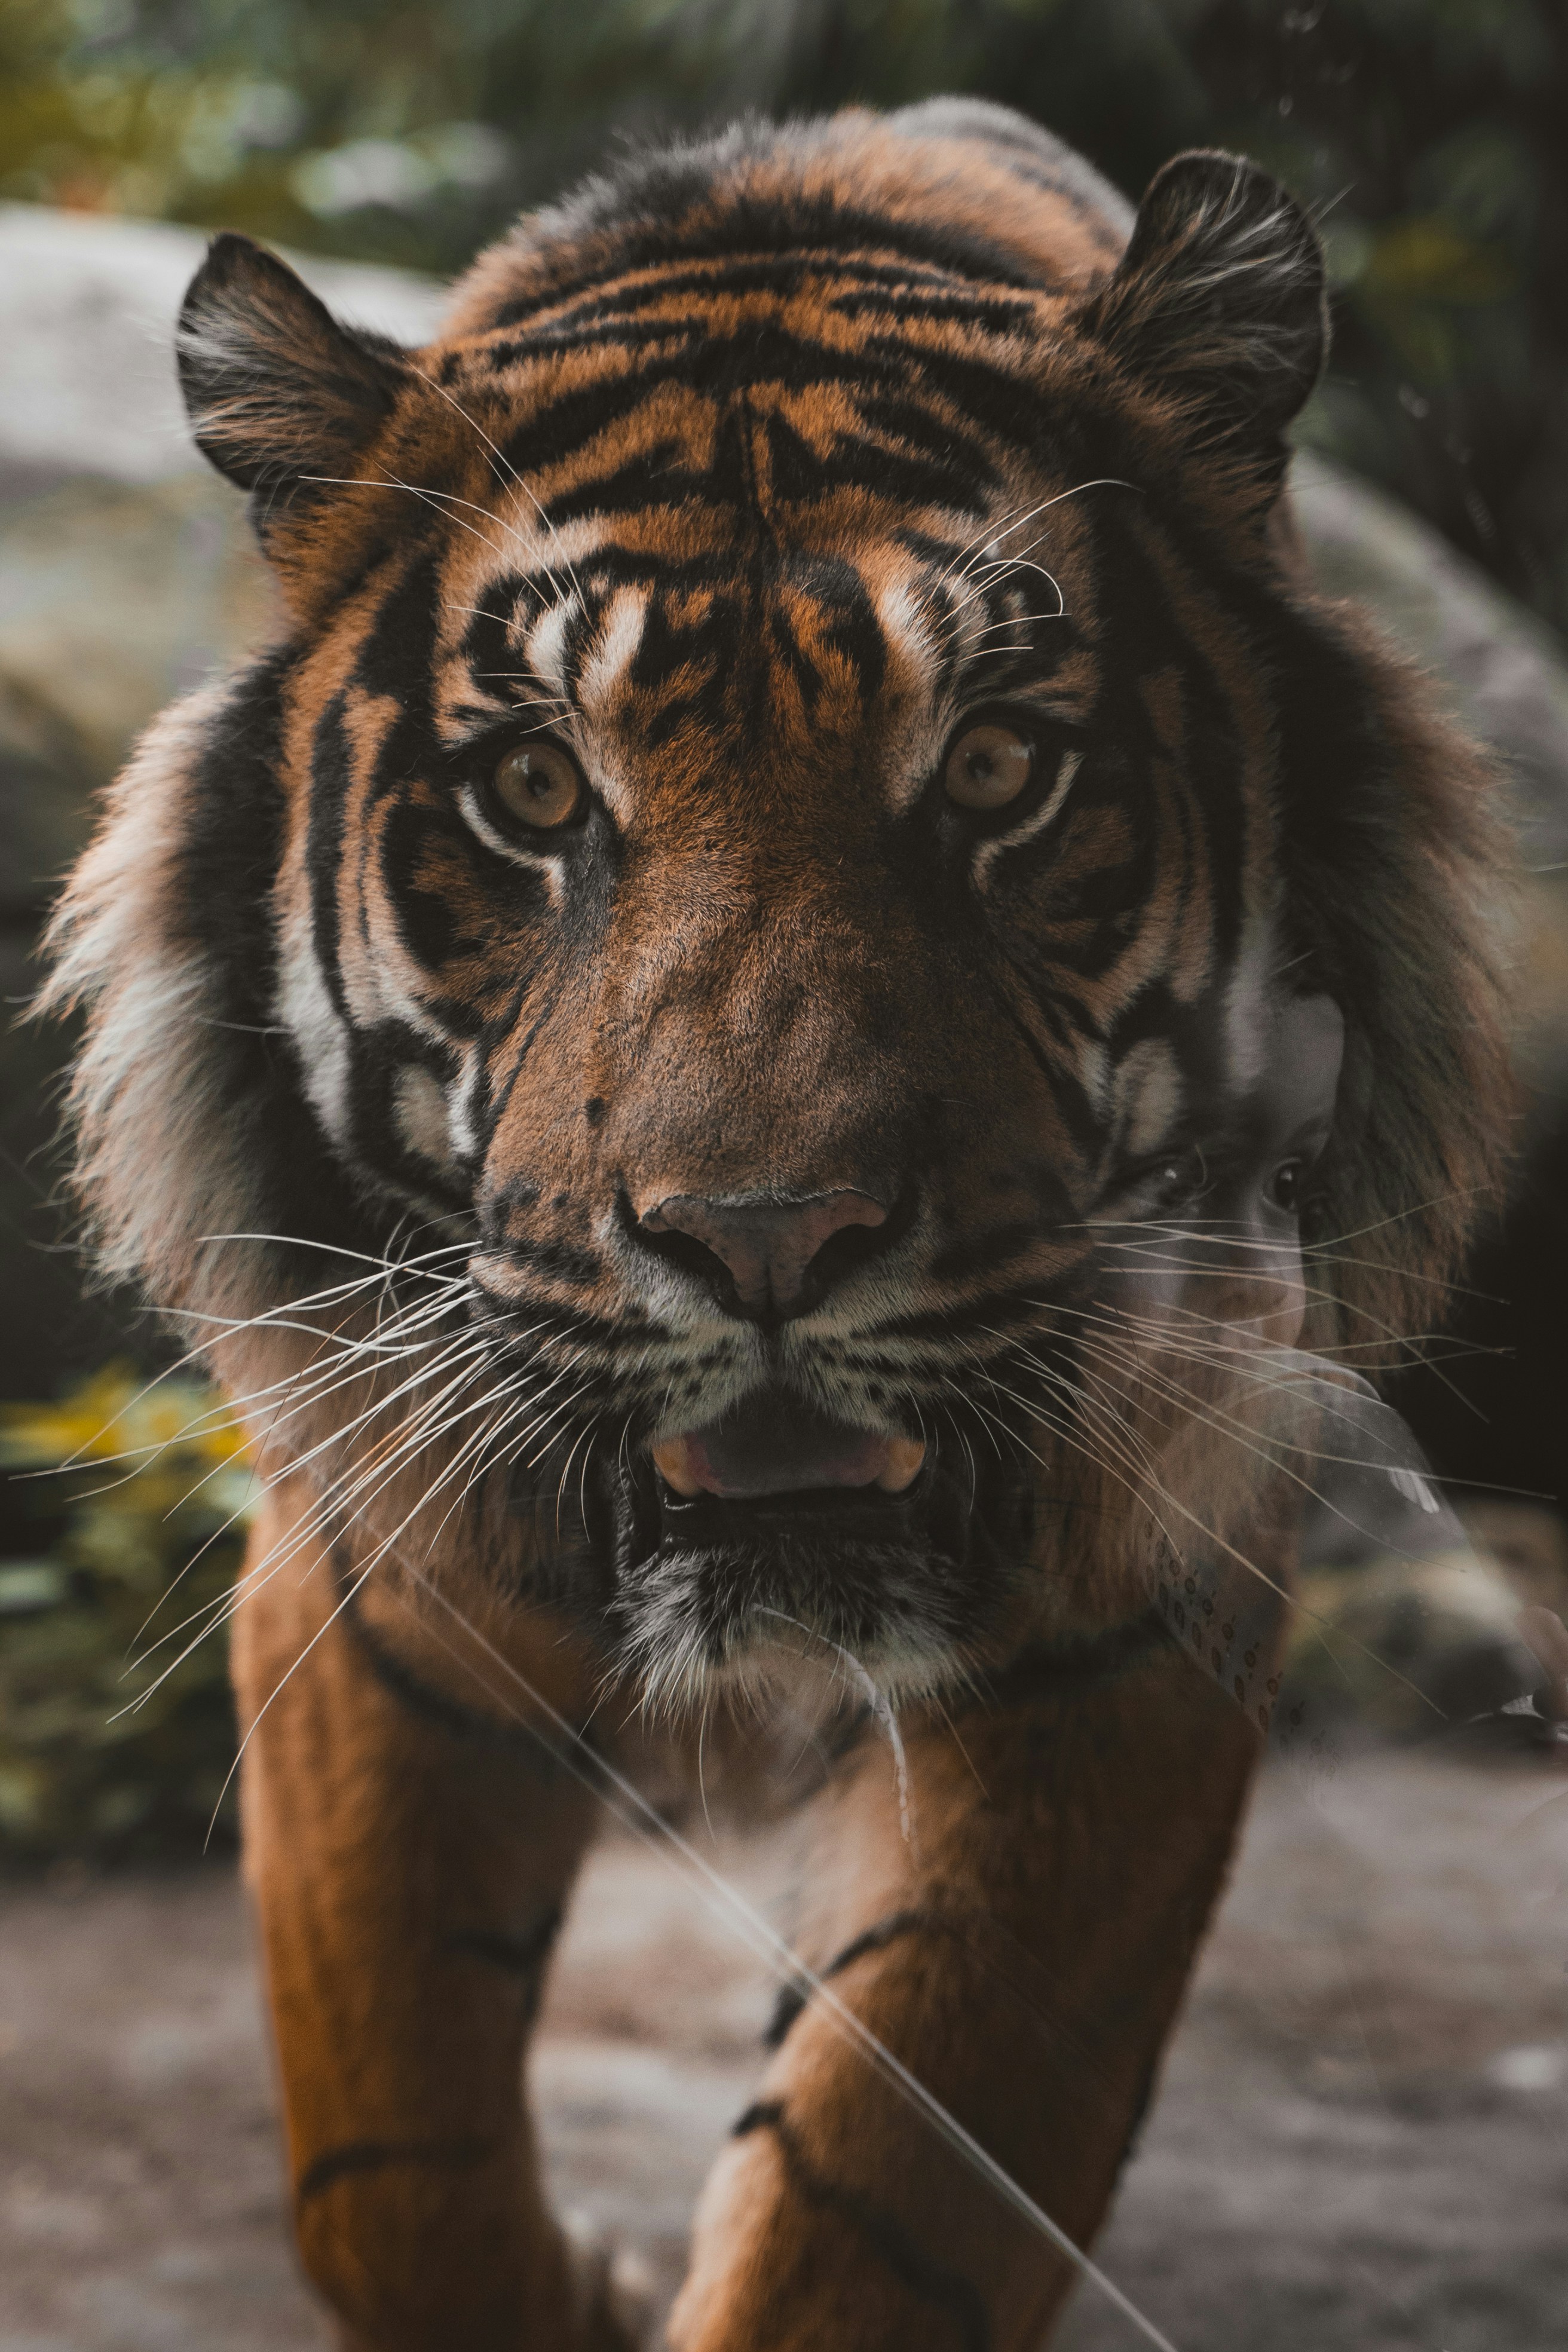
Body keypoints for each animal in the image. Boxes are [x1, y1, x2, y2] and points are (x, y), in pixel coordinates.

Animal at [46, 97, 1509, 2352]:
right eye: (535, 796)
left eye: (994, 770)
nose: (758, 1240)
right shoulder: (375, 1566)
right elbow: (390, 2167)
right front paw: (570, 2281)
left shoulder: (1127, 1617)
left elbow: (880, 2190)